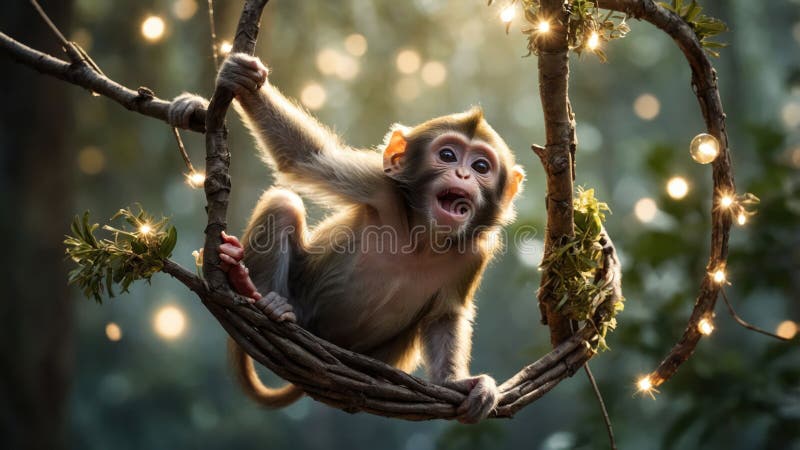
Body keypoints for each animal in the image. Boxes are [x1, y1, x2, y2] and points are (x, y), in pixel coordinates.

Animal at [168, 53, 525, 423]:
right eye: (448, 155)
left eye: (482, 166)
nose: (463, 174)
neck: (422, 235)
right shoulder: (379, 186)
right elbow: (305, 158)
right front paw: (244, 79)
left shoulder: (474, 254)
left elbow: (446, 314)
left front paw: (460, 383)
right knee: (284, 205)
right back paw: (254, 289)